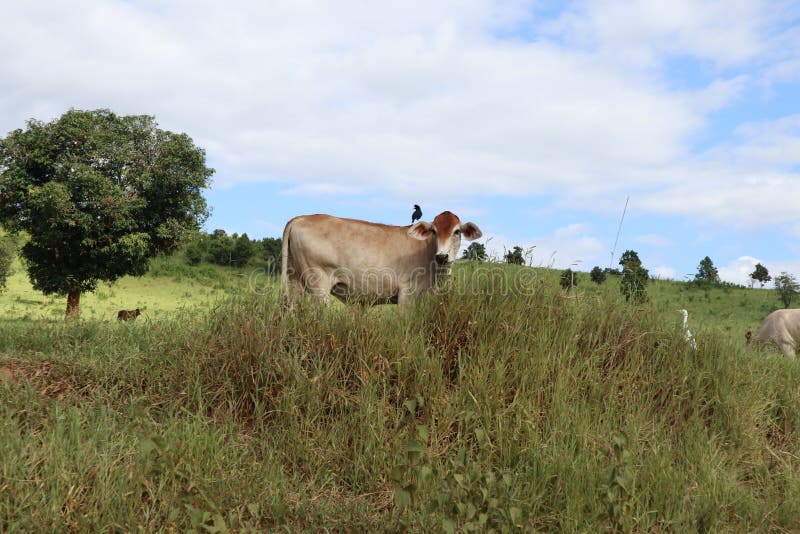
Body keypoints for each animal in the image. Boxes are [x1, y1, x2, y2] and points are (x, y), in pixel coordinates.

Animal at [280, 211, 482, 307]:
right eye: (434, 230)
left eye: (457, 231)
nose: (442, 256)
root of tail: (300, 218)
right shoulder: (406, 294)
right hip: (319, 284)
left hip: (295, 280)